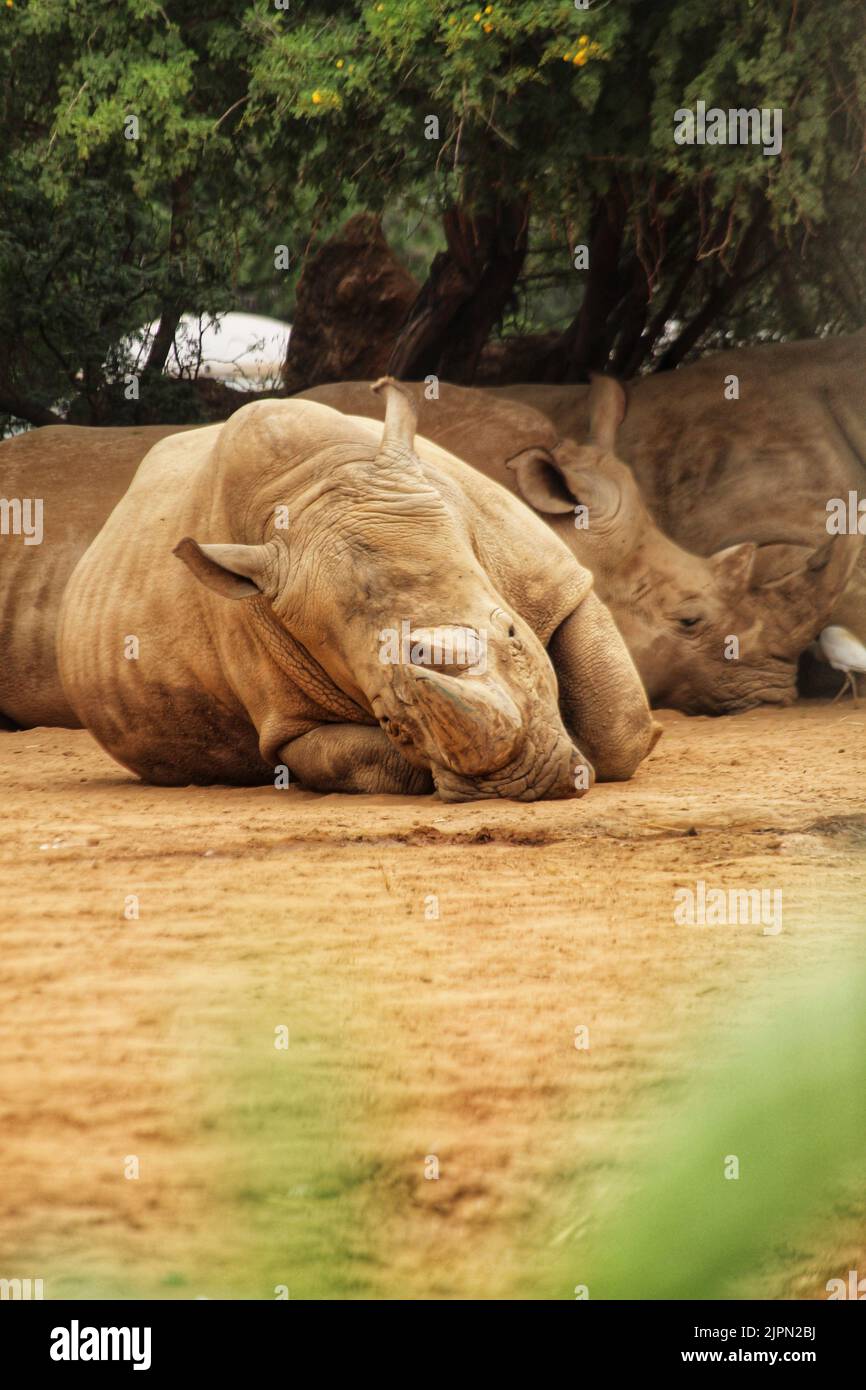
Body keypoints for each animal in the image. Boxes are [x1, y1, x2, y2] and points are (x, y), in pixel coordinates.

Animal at [48, 381, 658, 798]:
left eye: (513, 633)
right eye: (390, 723)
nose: (520, 785)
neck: (319, 483)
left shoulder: (555, 578)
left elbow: (618, 723)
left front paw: (643, 741)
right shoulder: (291, 724)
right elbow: (368, 761)